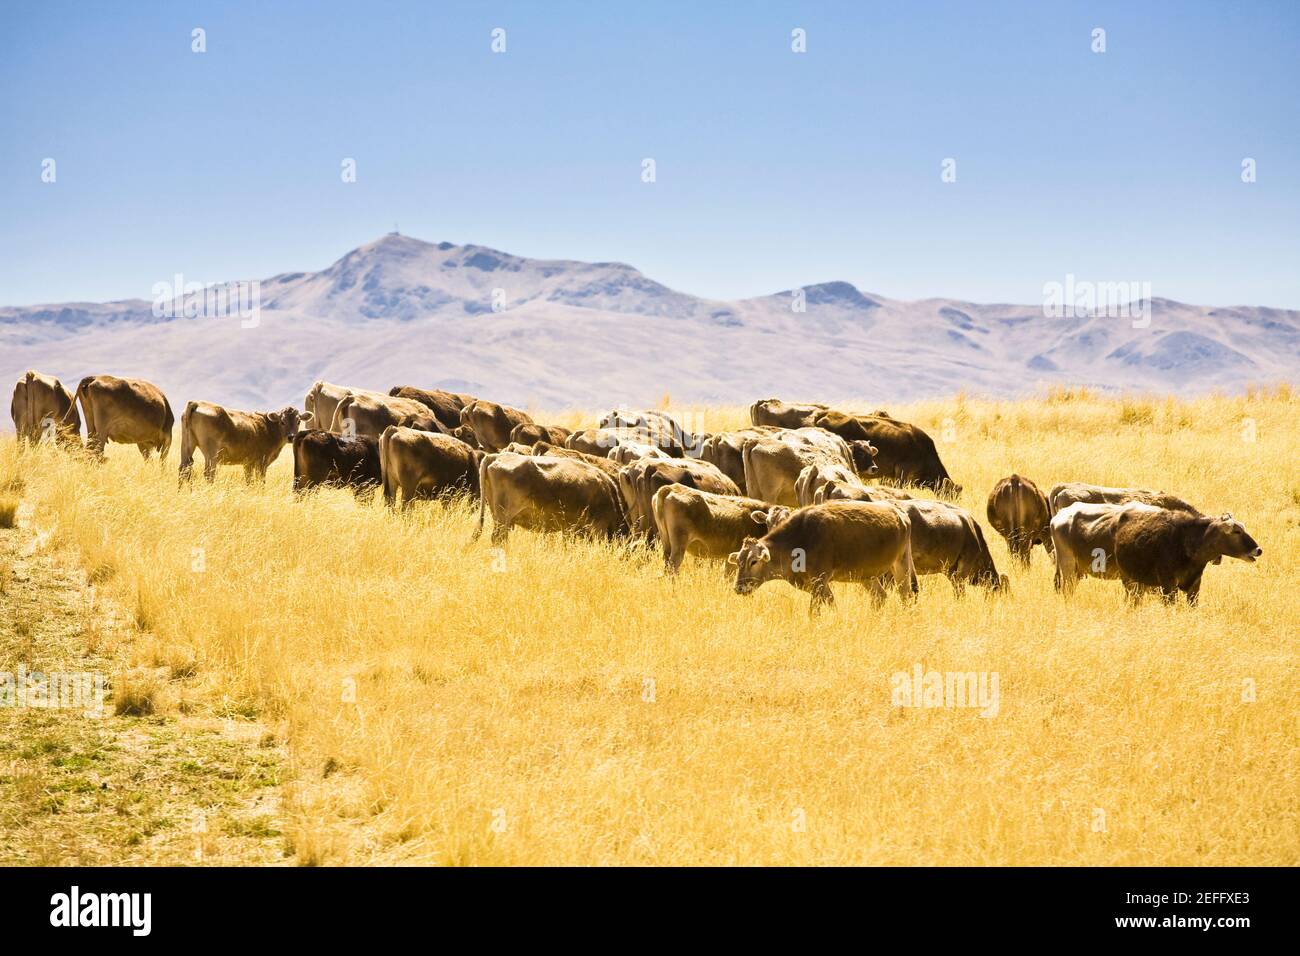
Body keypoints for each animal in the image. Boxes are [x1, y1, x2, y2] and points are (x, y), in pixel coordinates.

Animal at [474, 452, 627, 544]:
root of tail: (496, 456)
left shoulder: (571, 528)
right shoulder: (598, 526)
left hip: (499, 517)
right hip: (503, 518)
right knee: (498, 538)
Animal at [728, 500, 918, 614]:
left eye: (753, 561)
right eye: (738, 562)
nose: (739, 588)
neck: (799, 540)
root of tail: (900, 514)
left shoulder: (819, 580)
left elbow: (814, 611)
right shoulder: (815, 584)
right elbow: (832, 603)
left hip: (901, 565)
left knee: (906, 596)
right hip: (866, 576)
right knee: (880, 597)